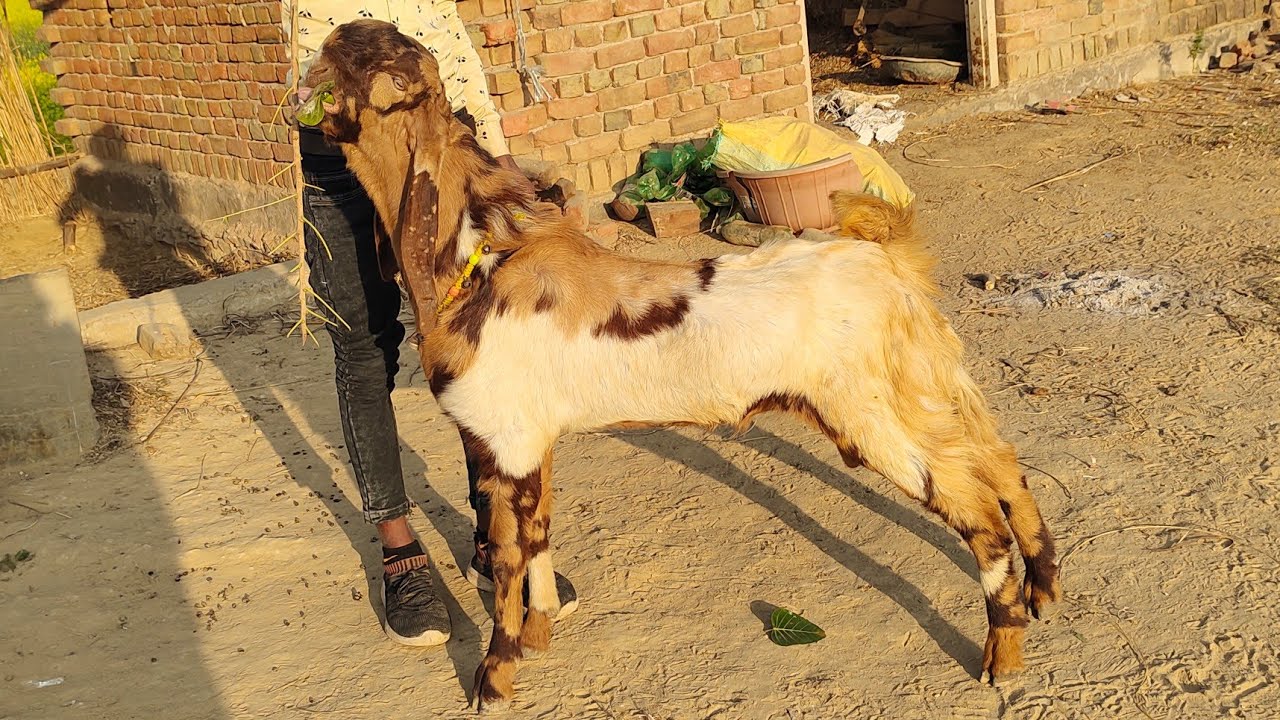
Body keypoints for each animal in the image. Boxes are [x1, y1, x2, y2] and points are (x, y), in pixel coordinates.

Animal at [300, 20, 1060, 712]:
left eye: (345, 62)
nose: (310, 63)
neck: (481, 260)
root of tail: (885, 255)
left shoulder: (507, 444)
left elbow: (510, 561)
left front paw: (495, 681)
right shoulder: (531, 444)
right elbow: (540, 539)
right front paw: (539, 639)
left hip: (875, 418)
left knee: (980, 514)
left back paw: (1002, 658)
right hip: (922, 383)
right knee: (1000, 460)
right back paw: (1045, 588)